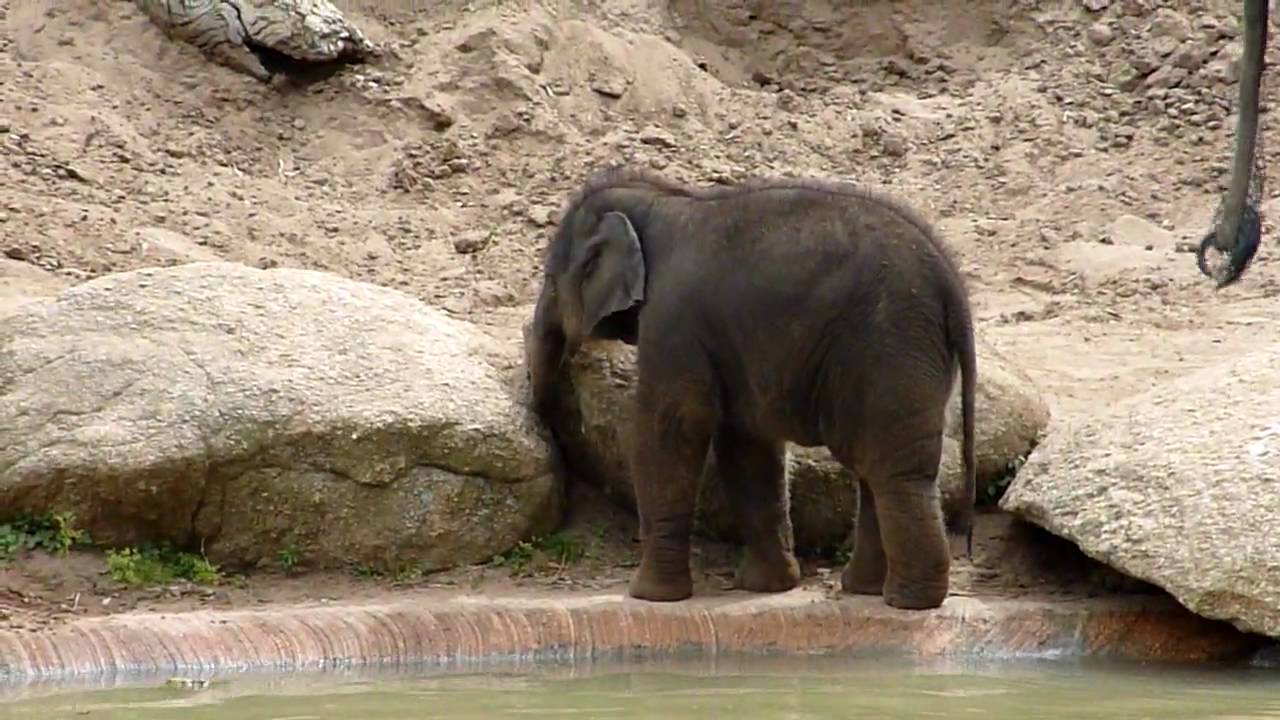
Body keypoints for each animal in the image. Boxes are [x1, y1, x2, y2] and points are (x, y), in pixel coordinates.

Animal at [523, 166, 977, 610]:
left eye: (549, 281)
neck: (663, 198)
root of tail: (952, 284)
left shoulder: (673, 319)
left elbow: (673, 429)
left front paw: (648, 595)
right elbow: (746, 440)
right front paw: (767, 587)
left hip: (889, 348)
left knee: (893, 471)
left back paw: (907, 601)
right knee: (879, 467)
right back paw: (865, 589)